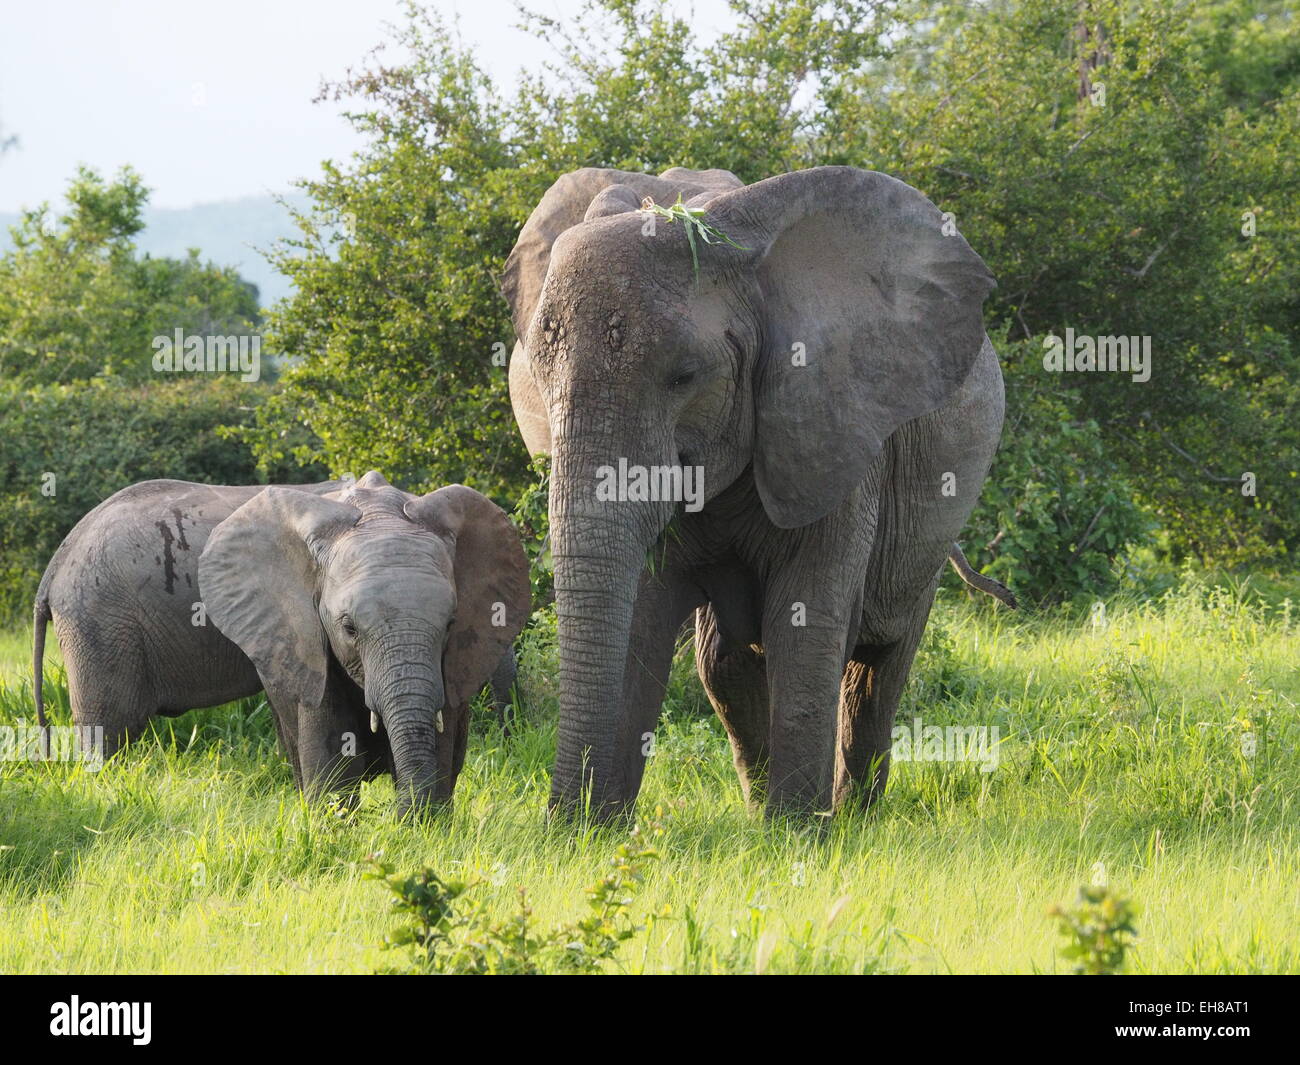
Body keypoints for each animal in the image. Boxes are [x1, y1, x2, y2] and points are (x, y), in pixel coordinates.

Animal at [33, 471, 530, 813]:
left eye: (449, 624)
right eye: (348, 628)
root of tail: (56, 564)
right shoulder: (301, 625)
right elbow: (328, 746)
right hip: (100, 623)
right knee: (109, 730)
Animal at [501, 164, 1012, 822]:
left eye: (685, 376)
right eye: (537, 375)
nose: (559, 820)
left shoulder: (832, 427)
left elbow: (807, 620)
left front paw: (798, 833)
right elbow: (642, 615)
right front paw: (600, 831)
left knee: (877, 668)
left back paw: (850, 817)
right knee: (724, 661)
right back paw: (766, 810)